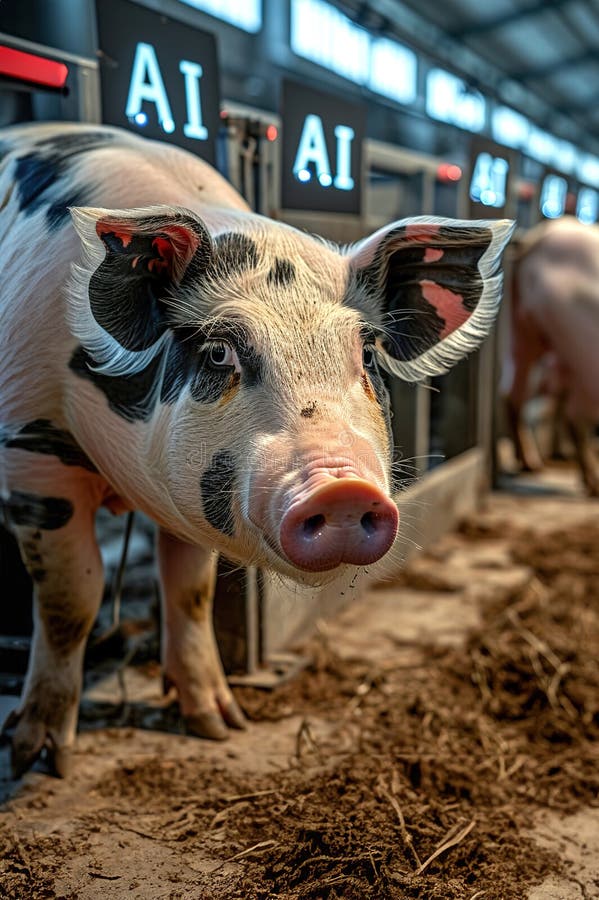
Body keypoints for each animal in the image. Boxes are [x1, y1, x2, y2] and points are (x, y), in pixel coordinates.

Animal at [0, 122, 513, 777]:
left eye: (367, 353)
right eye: (220, 352)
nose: (343, 489)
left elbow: (190, 591)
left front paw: (219, 725)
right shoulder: (31, 446)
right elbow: (70, 600)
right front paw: (40, 760)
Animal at [503, 216, 599, 495]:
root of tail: (540, 238)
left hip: (522, 329)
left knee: (513, 392)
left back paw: (531, 465)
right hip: (582, 340)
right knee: (576, 414)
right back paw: (593, 485)